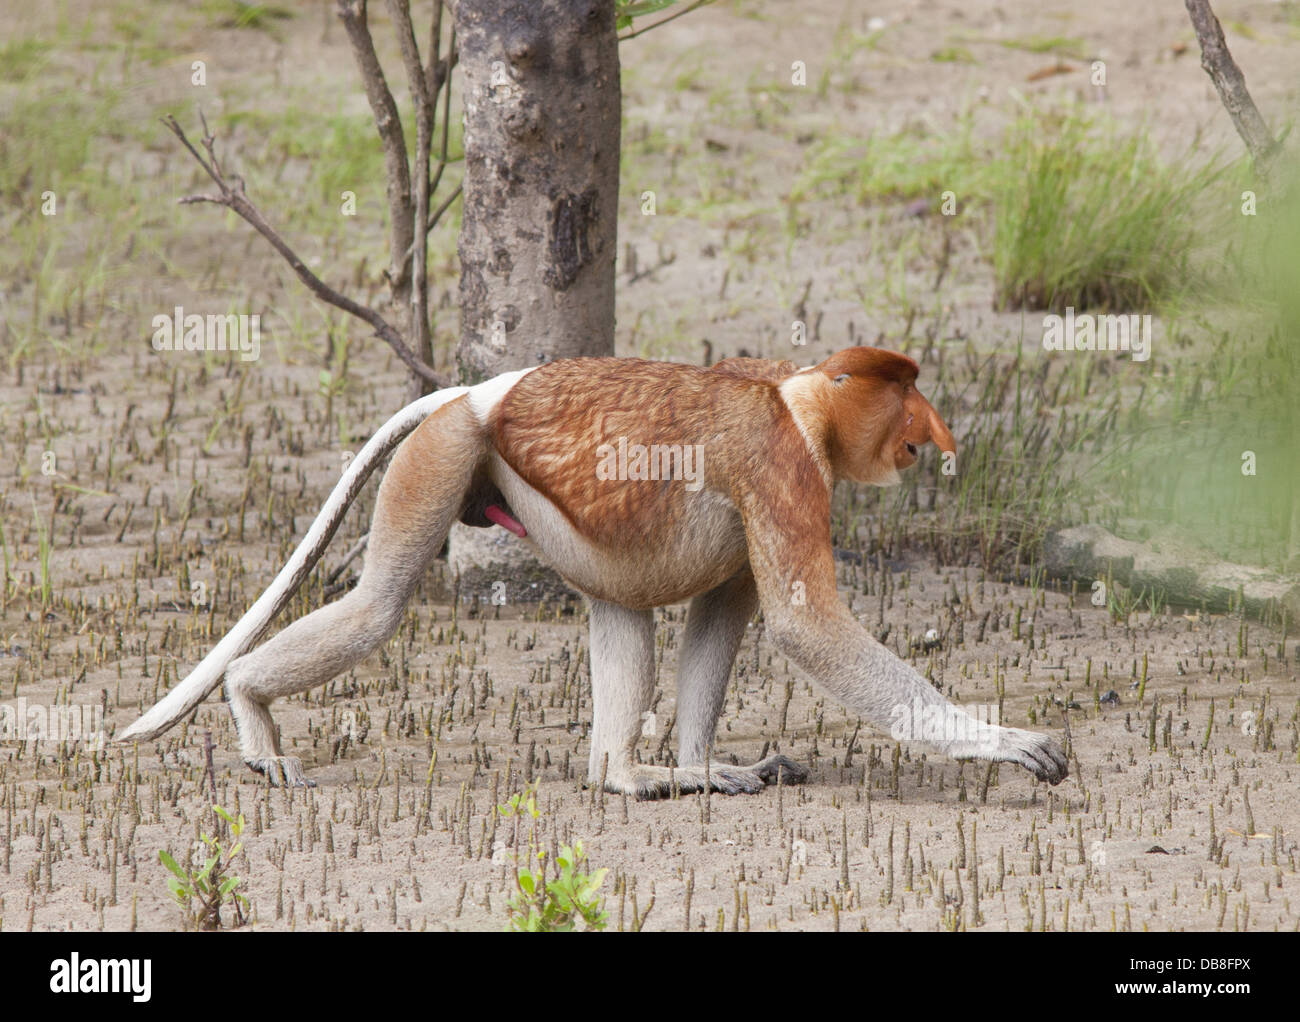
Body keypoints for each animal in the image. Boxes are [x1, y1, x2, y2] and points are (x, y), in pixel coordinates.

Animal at [117, 347, 1068, 795]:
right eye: (902, 390)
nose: (933, 431)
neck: (796, 396)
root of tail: (478, 390)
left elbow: (726, 612)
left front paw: (707, 763)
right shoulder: (783, 471)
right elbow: (807, 629)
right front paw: (1008, 741)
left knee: (621, 608)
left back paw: (631, 773)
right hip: (446, 454)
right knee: (377, 605)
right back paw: (247, 701)